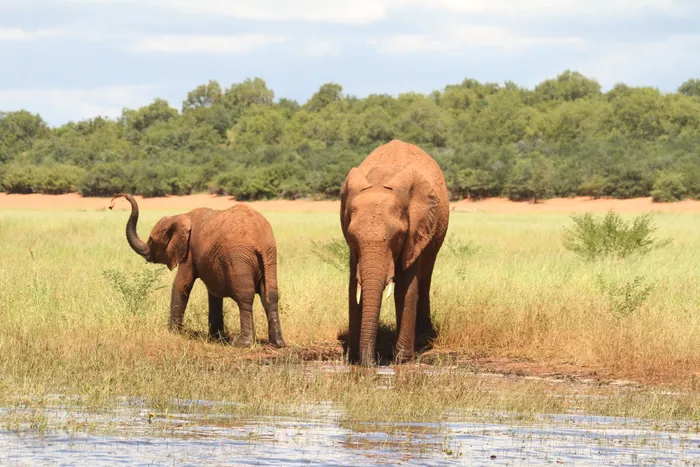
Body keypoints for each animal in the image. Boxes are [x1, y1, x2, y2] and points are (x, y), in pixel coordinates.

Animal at [110, 193, 286, 348]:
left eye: (152, 241)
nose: (113, 203)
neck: (181, 216)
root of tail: (260, 240)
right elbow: (213, 293)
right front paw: (216, 338)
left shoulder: (189, 251)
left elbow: (181, 284)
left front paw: (173, 333)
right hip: (270, 257)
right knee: (270, 295)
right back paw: (277, 343)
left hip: (239, 258)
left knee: (245, 297)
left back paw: (243, 344)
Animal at [340, 139, 450, 365]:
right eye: (353, 237)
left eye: (398, 237)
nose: (372, 363)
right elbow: (353, 287)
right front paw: (353, 357)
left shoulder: (416, 232)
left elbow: (406, 288)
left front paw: (402, 359)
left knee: (425, 277)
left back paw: (424, 336)